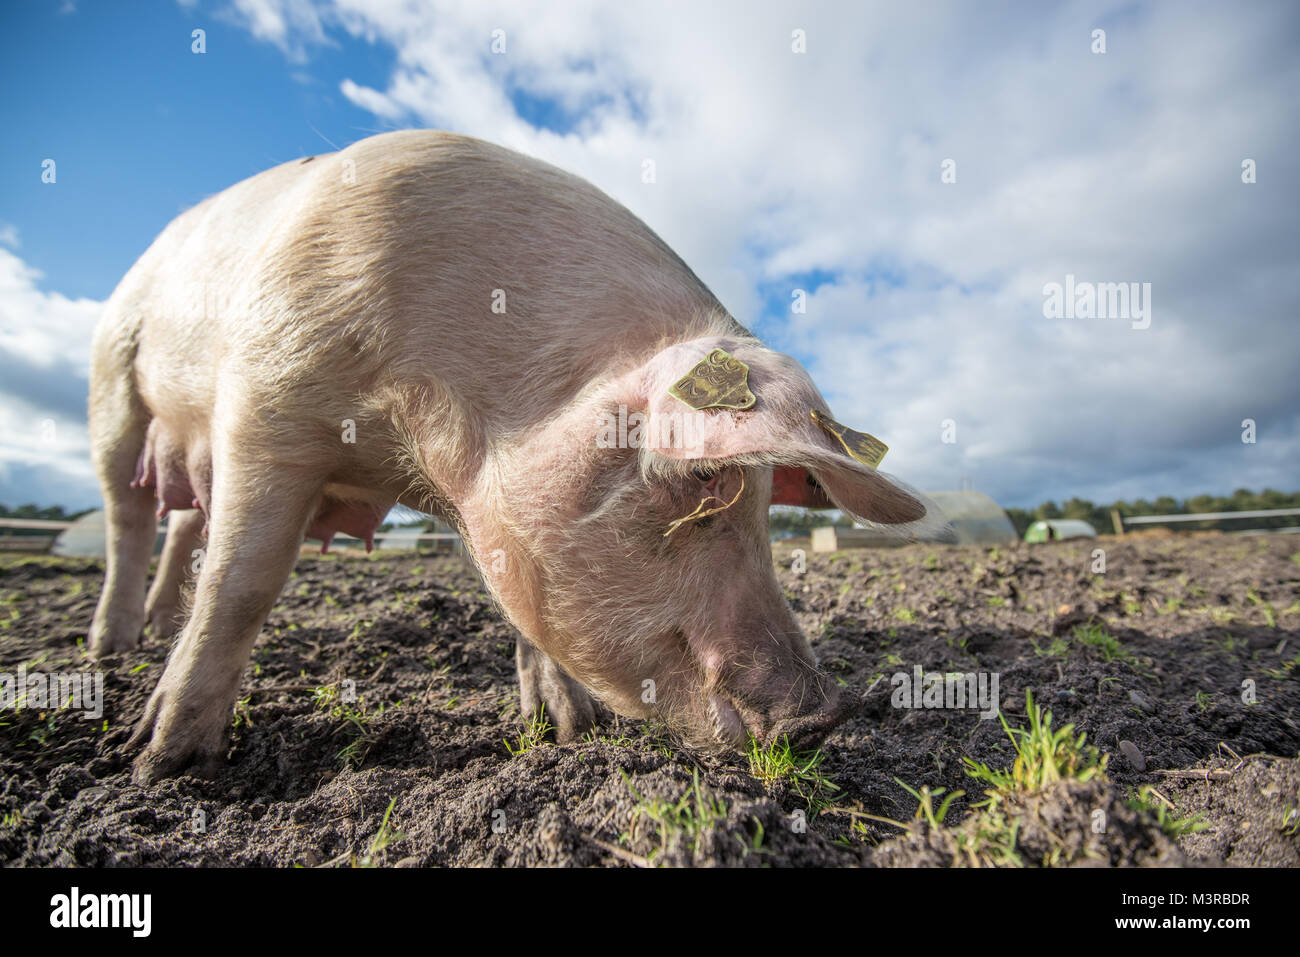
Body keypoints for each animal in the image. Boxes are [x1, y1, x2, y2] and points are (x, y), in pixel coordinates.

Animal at [85, 130, 940, 784]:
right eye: (701, 481)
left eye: (766, 507)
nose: (826, 713)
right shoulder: (264, 398)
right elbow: (243, 582)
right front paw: (161, 764)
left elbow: (522, 604)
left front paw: (570, 728)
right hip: (111, 382)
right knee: (131, 516)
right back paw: (113, 653)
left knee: (182, 523)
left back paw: (152, 630)